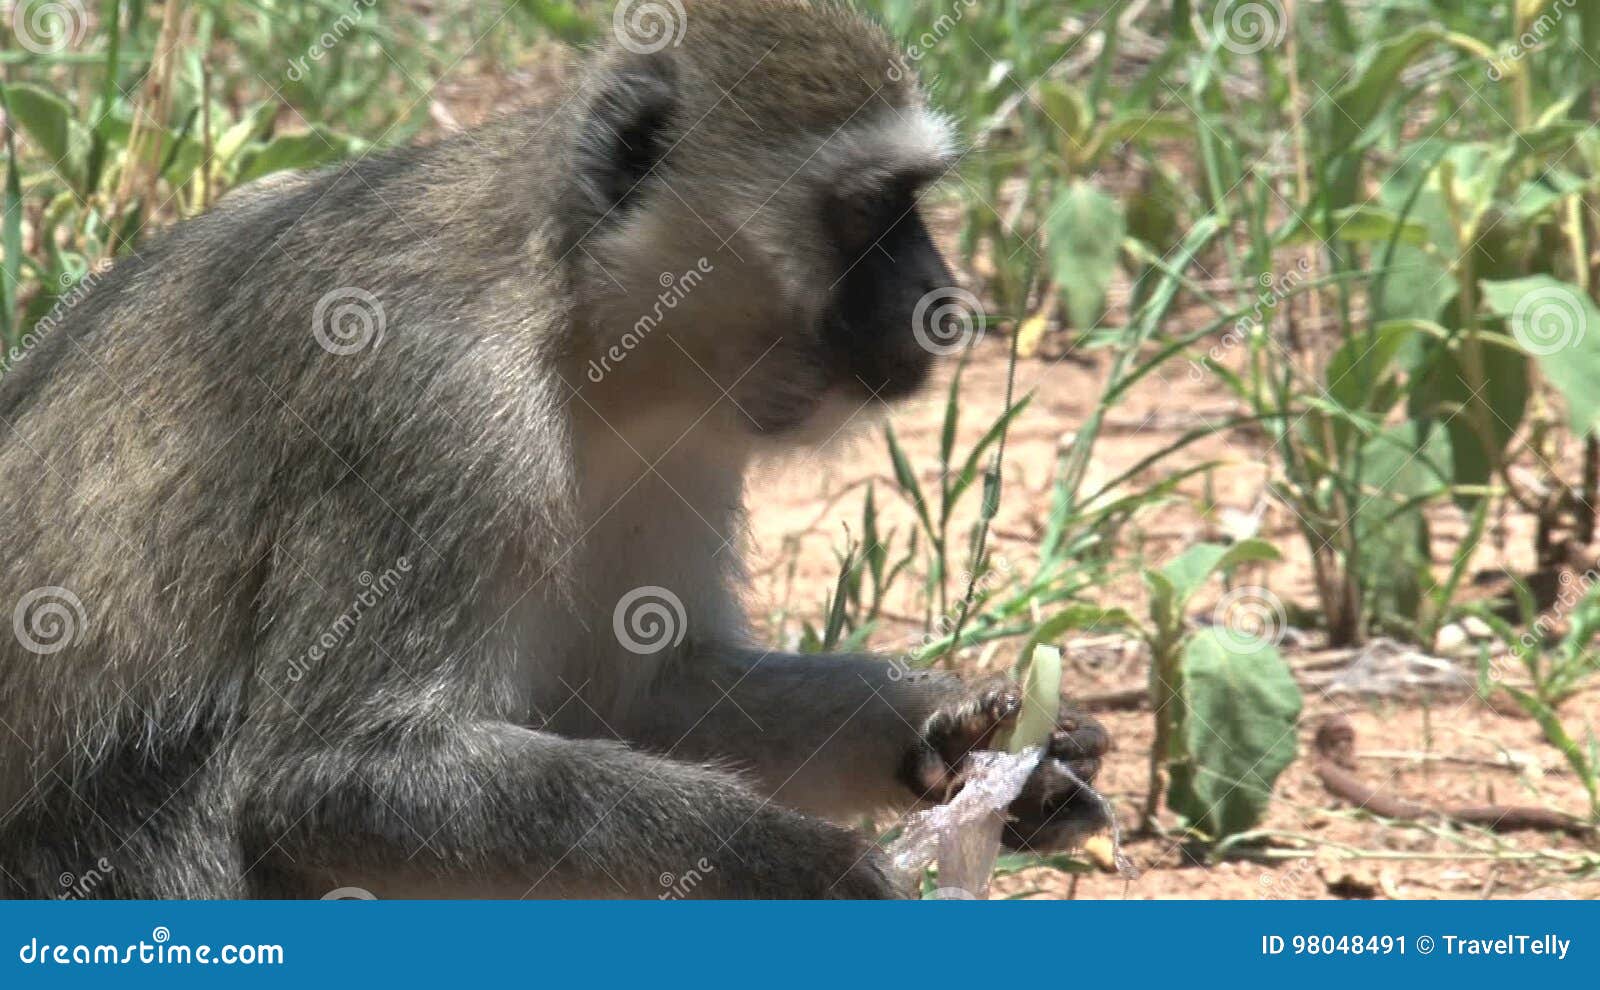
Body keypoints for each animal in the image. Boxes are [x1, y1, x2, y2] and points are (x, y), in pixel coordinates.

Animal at [0, 0, 1110, 899]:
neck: (578, 323)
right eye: (872, 211)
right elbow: (323, 777)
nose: (944, 302)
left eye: (910, 205)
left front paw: (955, 725)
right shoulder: (436, 411)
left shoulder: (689, 440)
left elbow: (648, 696)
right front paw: (797, 865)